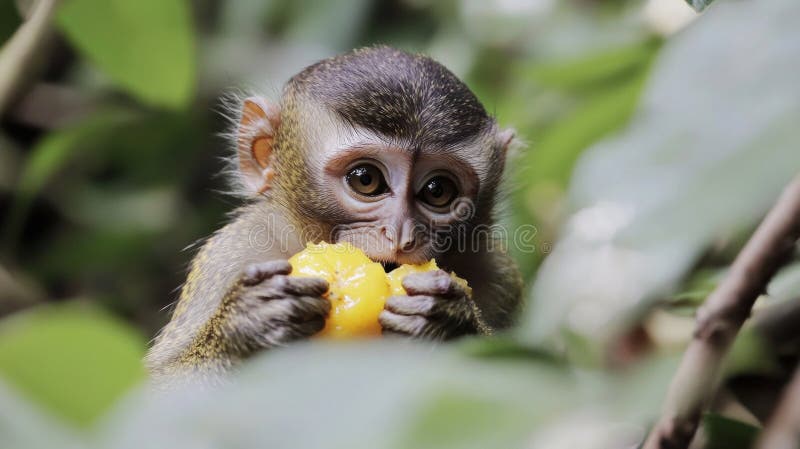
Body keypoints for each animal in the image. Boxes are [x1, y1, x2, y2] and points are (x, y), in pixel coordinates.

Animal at [145, 46, 523, 386]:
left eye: (437, 190)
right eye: (366, 179)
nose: (400, 235)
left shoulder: (498, 272)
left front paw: (450, 322)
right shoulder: (229, 256)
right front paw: (244, 326)